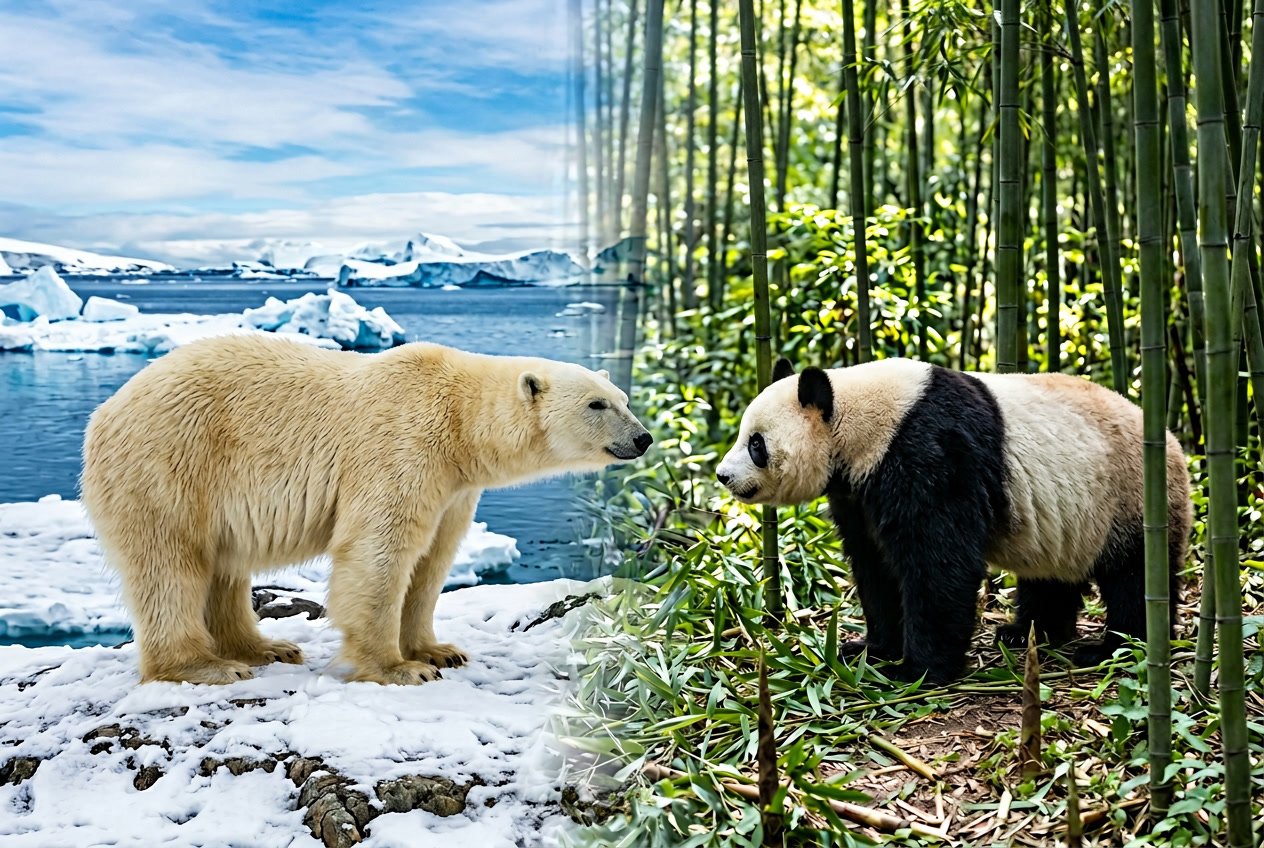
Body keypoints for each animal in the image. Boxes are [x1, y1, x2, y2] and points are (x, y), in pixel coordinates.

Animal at [80, 333, 652, 686]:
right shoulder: (402, 446)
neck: (458, 421)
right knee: (169, 563)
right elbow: (380, 550)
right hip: (171, 465)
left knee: (223, 566)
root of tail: (105, 411)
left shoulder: (454, 487)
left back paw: (265, 648)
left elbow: (432, 562)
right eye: (597, 404)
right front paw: (398, 668)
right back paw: (206, 665)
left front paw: (438, 650)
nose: (643, 438)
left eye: (623, 397)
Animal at [715, 357, 1192, 685]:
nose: (723, 475)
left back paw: (1114, 647)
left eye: (756, 444)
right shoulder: (859, 490)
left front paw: (918, 670)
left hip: (1128, 499)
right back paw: (1024, 633)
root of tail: (1173, 443)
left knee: (1135, 577)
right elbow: (876, 567)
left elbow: (939, 562)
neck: (860, 419)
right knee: (1050, 577)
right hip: (1070, 516)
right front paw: (871, 648)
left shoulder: (931, 450)